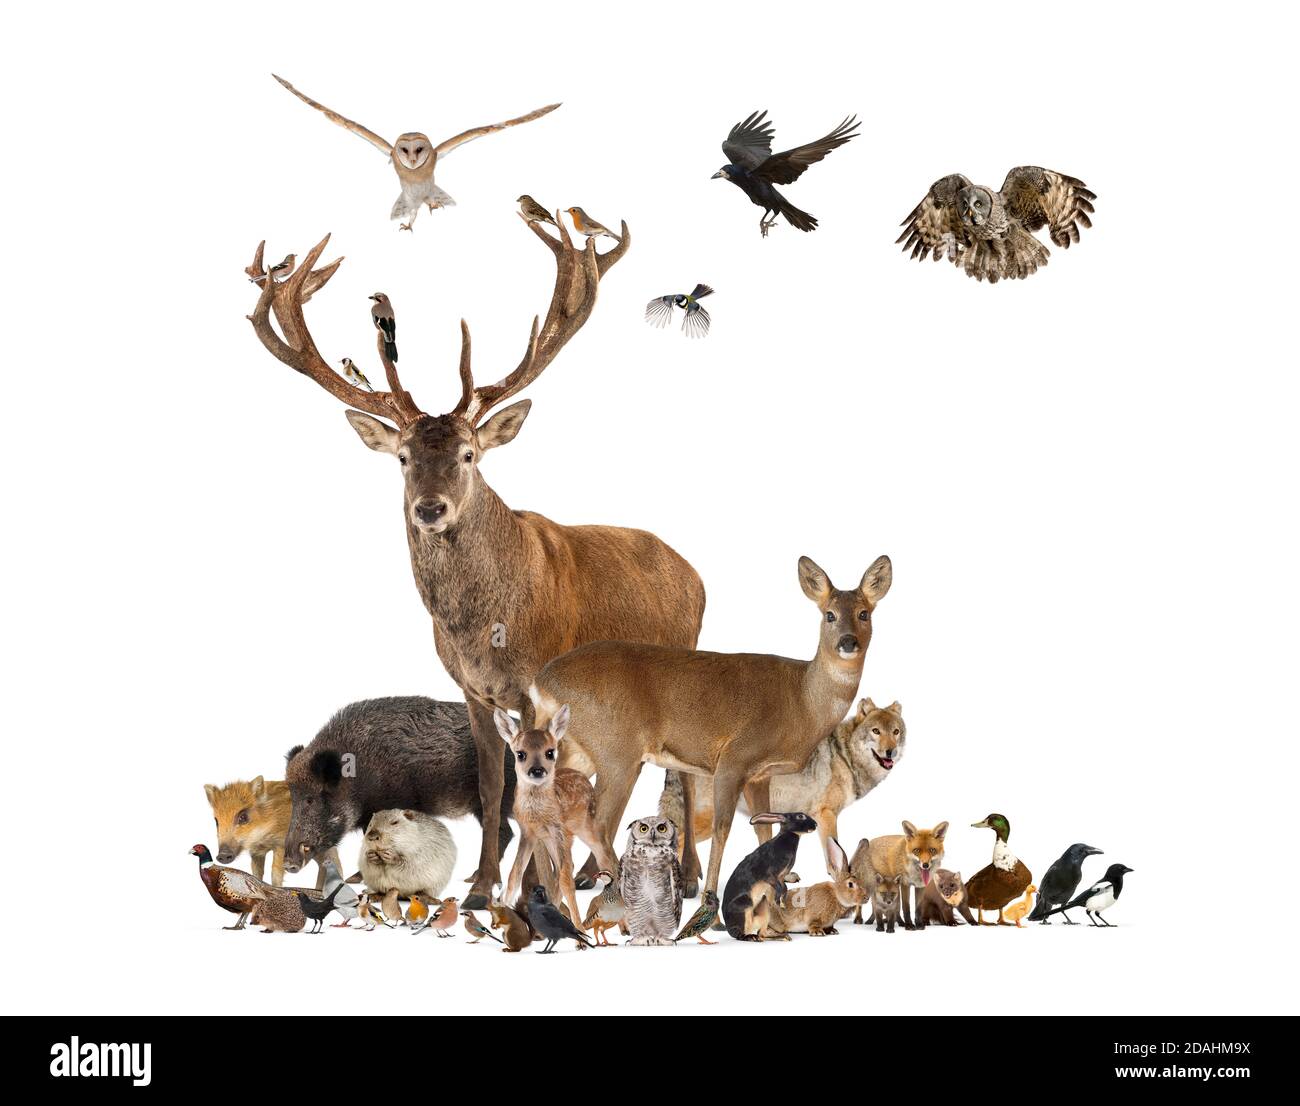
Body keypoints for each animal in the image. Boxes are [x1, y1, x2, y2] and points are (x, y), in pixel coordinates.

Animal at [204, 776, 339, 889]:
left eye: (243, 817)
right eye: (216, 821)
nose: (222, 855)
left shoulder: (281, 846)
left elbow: (276, 872)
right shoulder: (256, 852)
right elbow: (257, 871)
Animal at [245, 214, 706, 910]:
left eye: (468, 454)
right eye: (403, 457)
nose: (430, 508)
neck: (485, 630)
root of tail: (696, 573)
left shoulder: (540, 686)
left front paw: (531, 891)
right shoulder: (469, 688)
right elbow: (493, 786)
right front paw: (483, 887)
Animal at [529, 554, 892, 897]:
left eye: (864, 613)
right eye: (829, 614)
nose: (848, 642)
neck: (801, 701)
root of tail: (543, 682)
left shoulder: (760, 775)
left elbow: (763, 827)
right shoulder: (734, 758)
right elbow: (723, 828)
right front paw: (711, 896)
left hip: (577, 750)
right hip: (616, 750)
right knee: (599, 823)